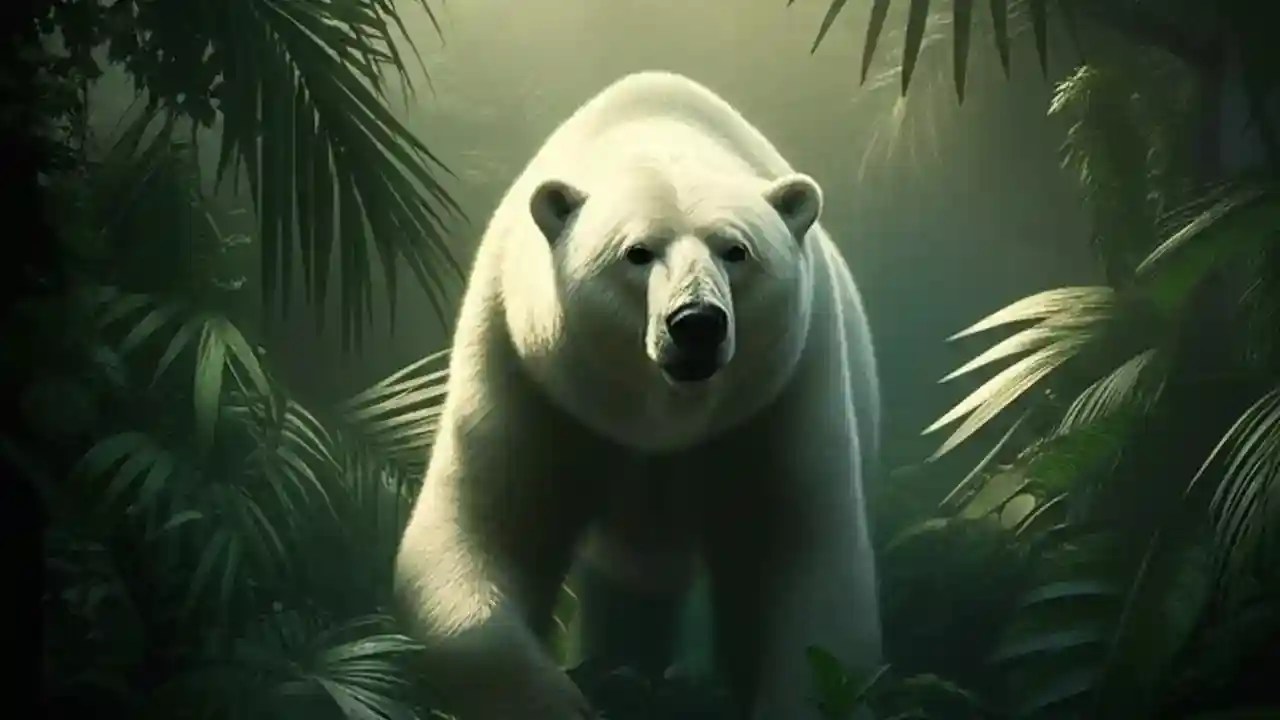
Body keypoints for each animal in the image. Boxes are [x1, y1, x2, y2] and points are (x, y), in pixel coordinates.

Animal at [393, 70, 883, 720]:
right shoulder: (527, 372)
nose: (696, 323)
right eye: (637, 253)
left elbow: (810, 566)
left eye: (737, 250)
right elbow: (477, 534)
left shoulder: (785, 387)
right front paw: (567, 699)